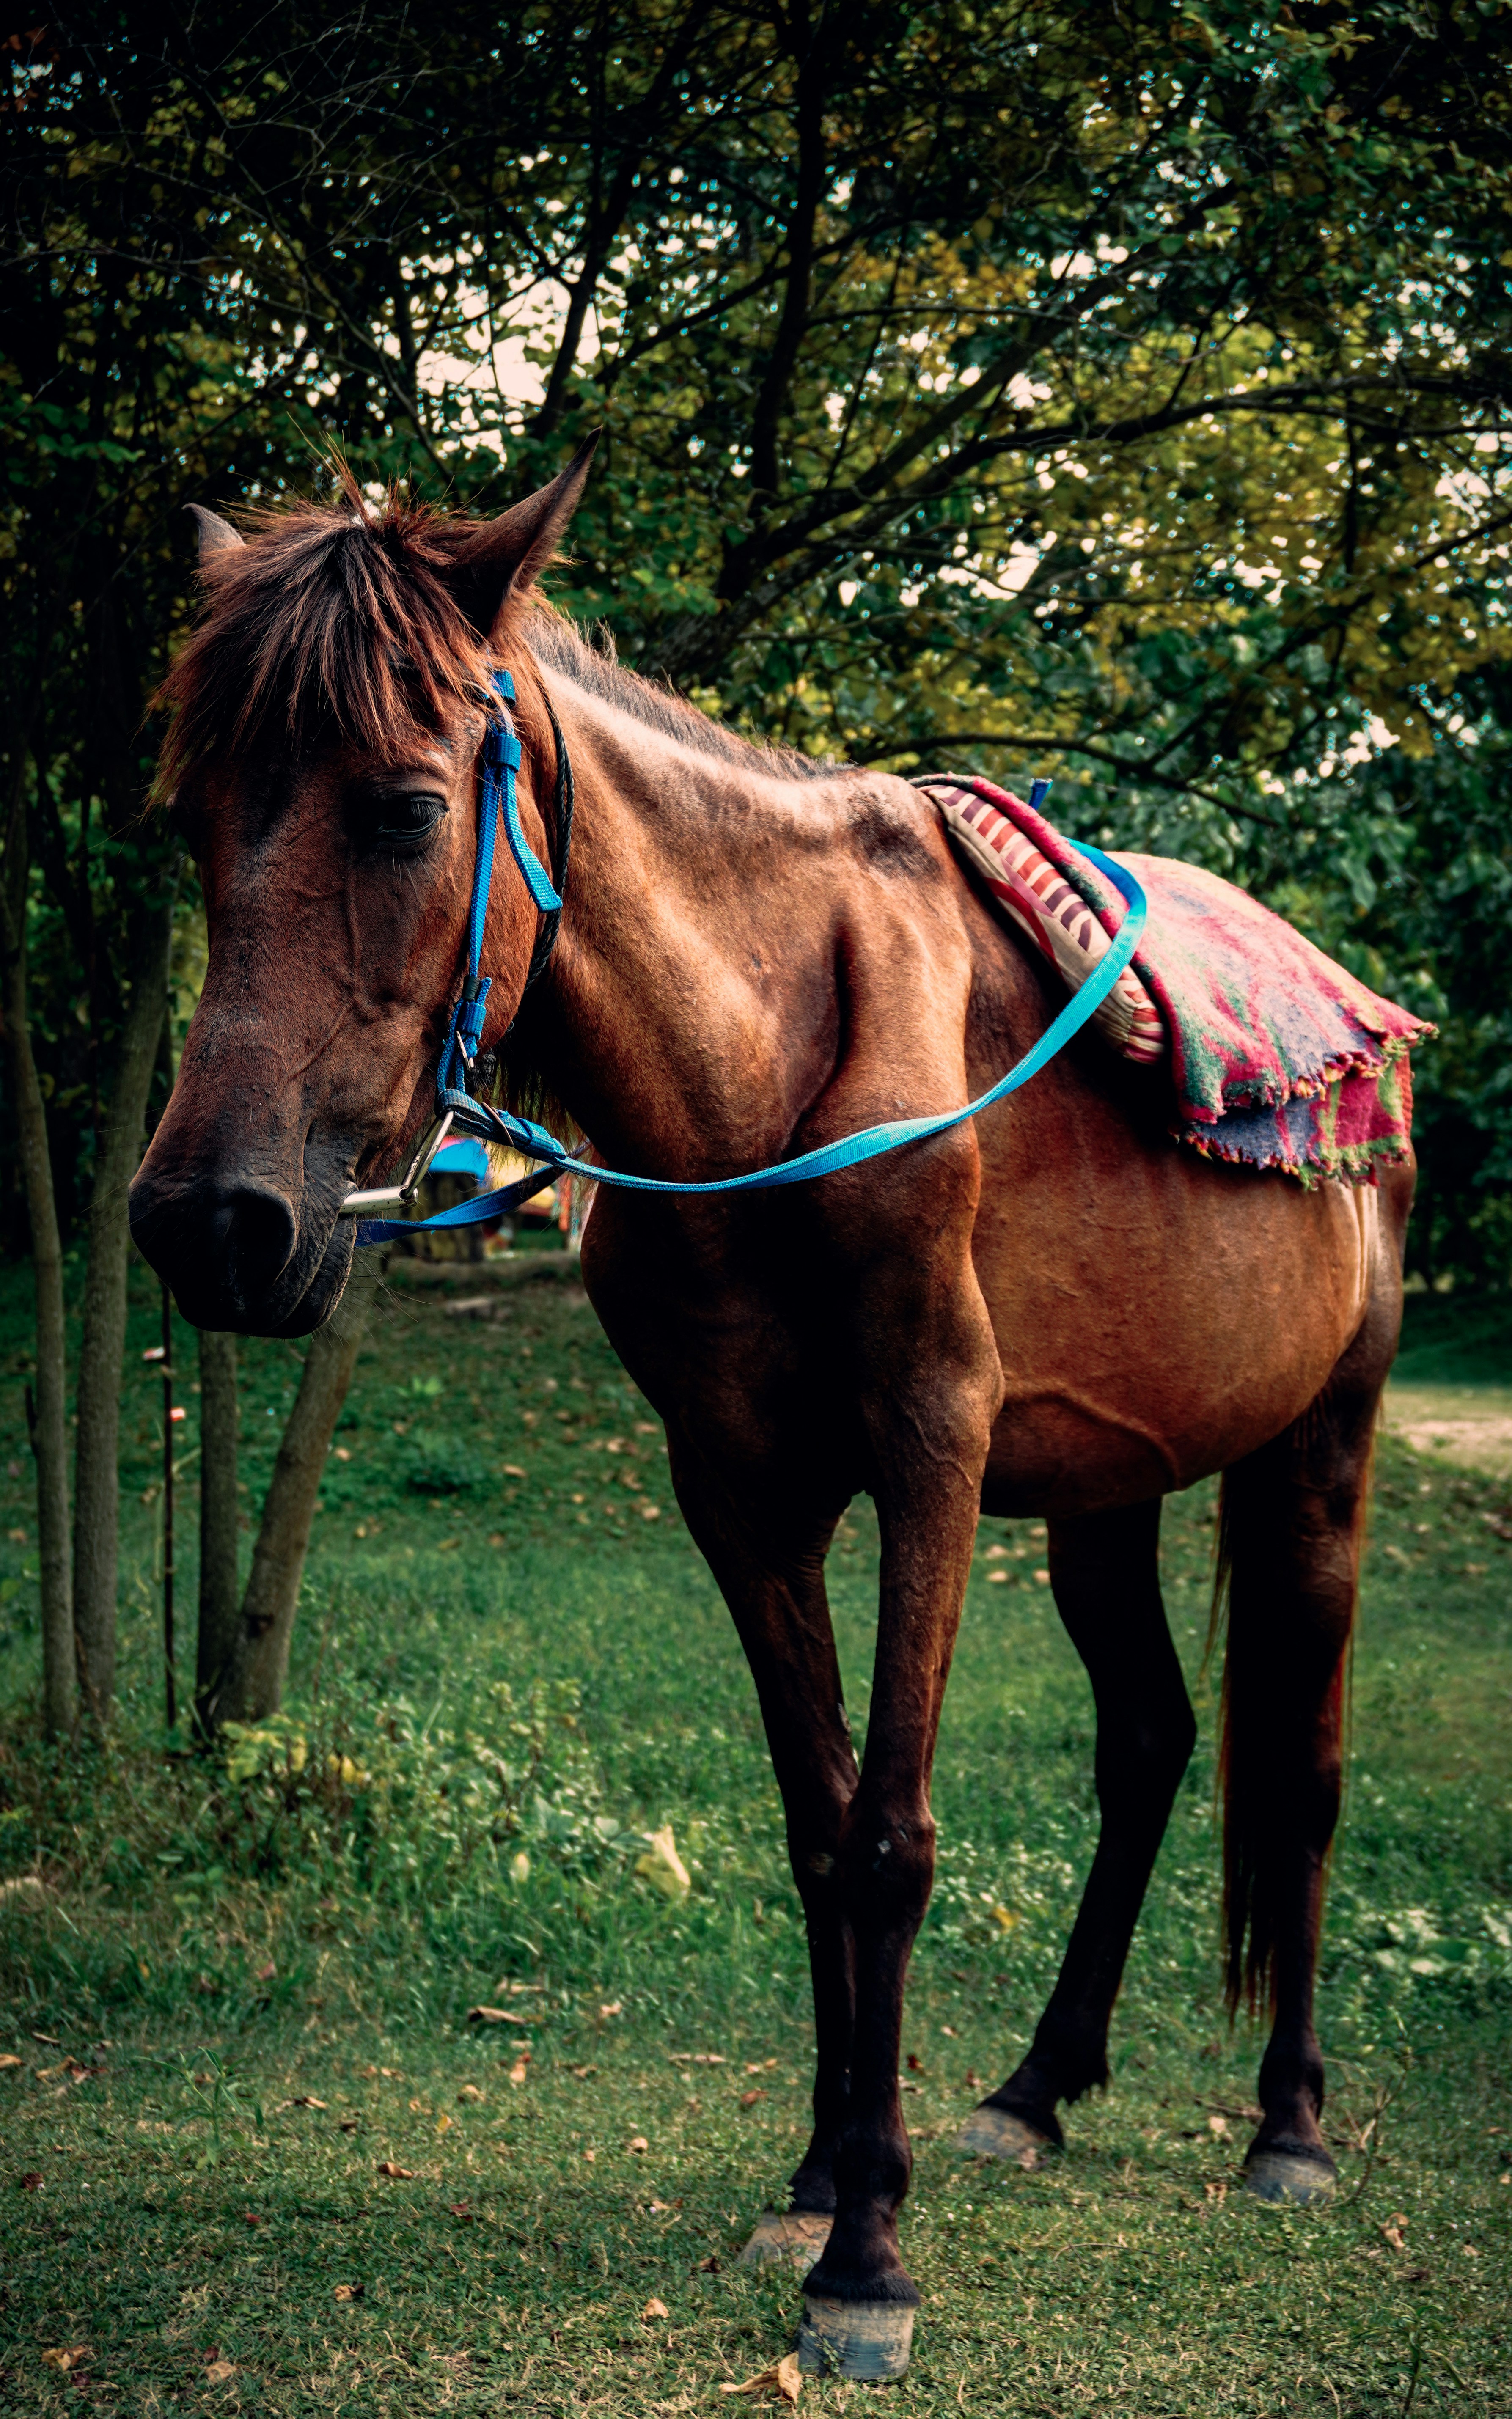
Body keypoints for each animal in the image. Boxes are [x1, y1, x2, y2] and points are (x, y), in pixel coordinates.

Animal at [130, 448, 1411, 2380]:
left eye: (407, 810)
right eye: (193, 812)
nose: (216, 1224)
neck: (767, 1058)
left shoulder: (927, 1453)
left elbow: (886, 1838)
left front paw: (868, 2256)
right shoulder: (736, 1489)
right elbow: (813, 1829)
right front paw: (818, 2179)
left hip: (1315, 1459)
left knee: (1308, 1772)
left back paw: (1288, 2124)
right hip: (1104, 1495)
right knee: (1149, 1740)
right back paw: (1034, 2087)